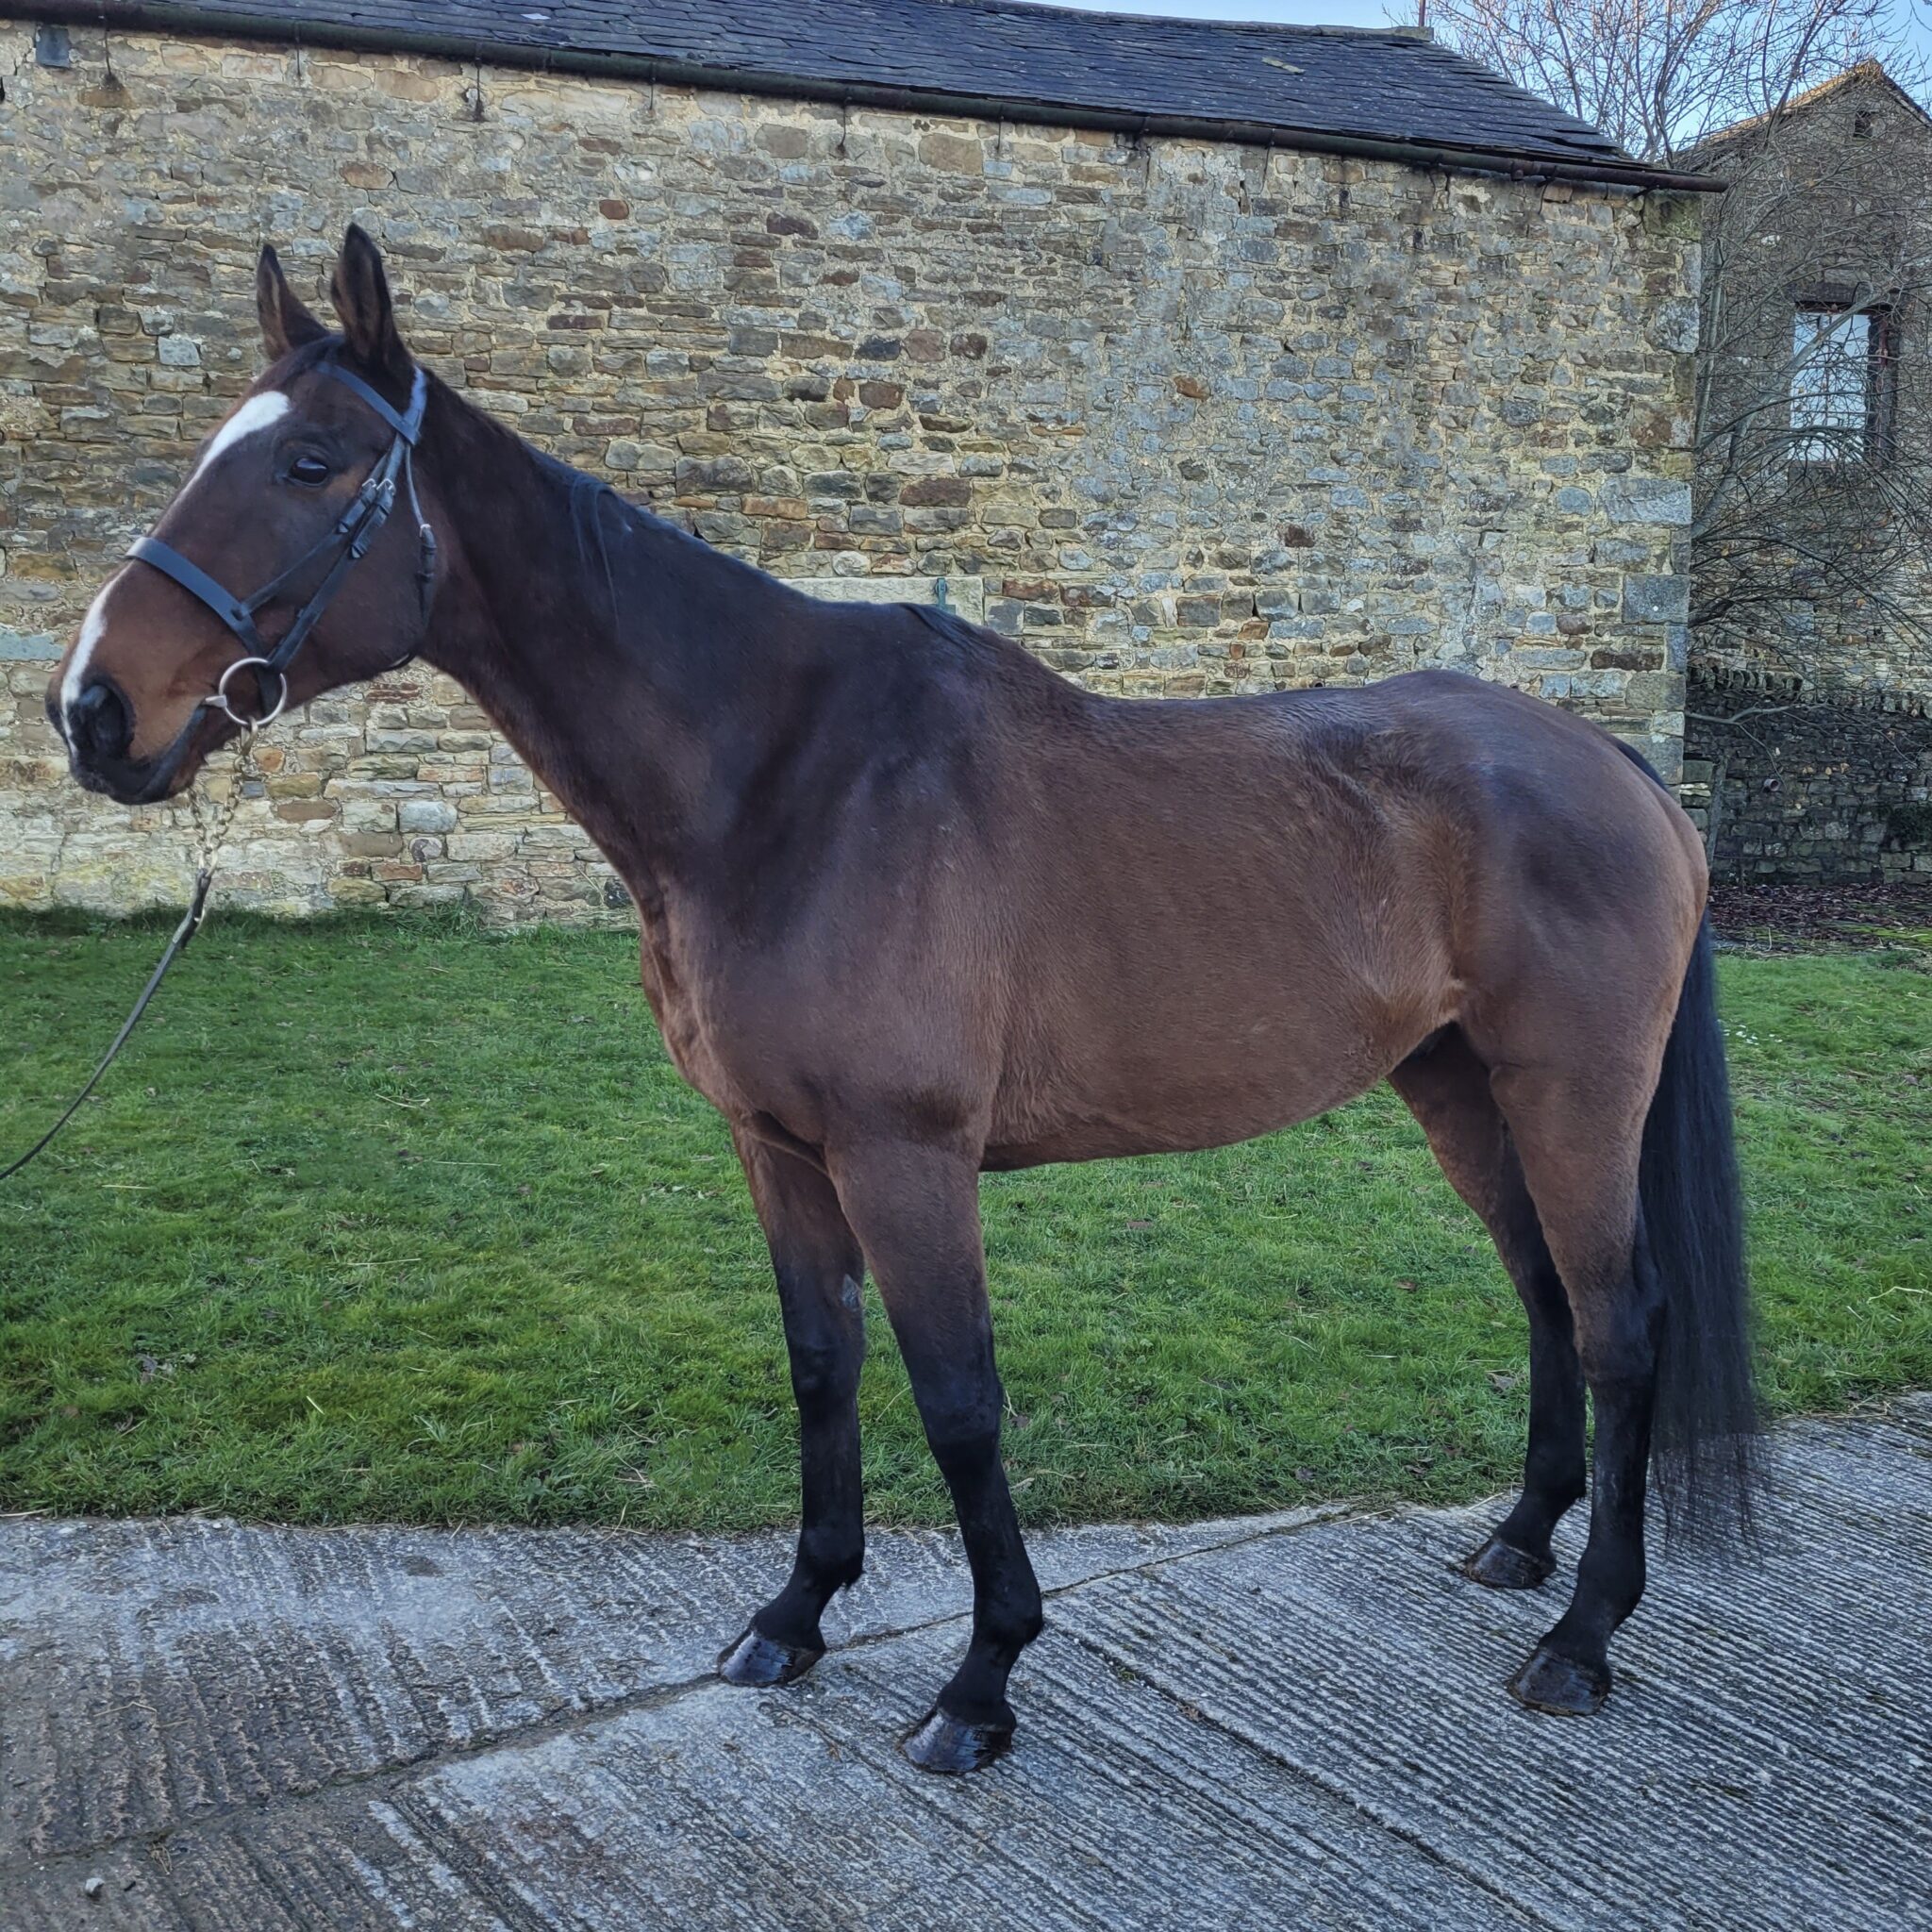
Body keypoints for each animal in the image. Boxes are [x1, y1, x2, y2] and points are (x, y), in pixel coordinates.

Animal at [47, 227, 1757, 1774]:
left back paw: (1581, 1636)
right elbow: (824, 1369)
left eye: (313, 462)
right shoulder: (779, 1149)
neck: (782, 784)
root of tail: (1616, 769)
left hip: (1569, 1096)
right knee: (1543, 1295)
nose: (92, 710)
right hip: (1459, 1084)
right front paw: (795, 1617)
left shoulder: (906, 1156)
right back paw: (1519, 1543)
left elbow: (959, 1401)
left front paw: (980, 1681)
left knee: (1618, 1322)